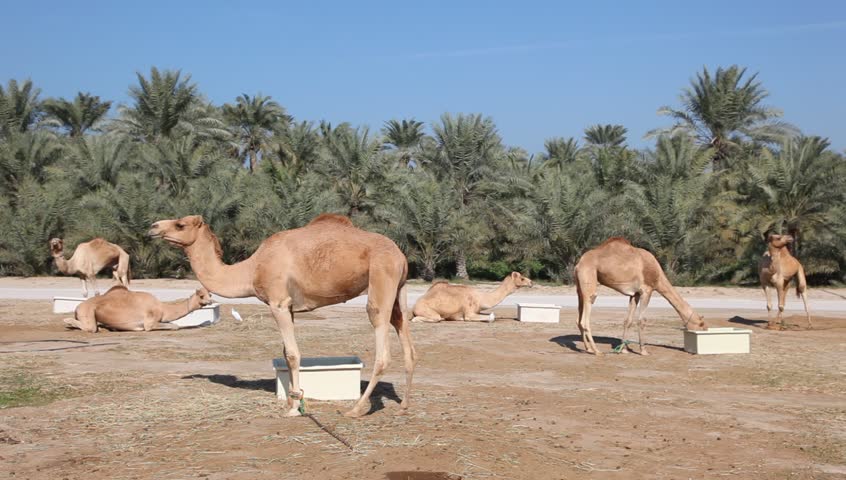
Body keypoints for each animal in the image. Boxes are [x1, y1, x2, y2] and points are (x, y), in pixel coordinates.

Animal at [63, 285, 212, 332]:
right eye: (202, 296)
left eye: (210, 294)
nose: (210, 301)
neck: (162, 308)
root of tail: (77, 307)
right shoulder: (149, 322)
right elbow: (174, 326)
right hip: (87, 312)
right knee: (91, 328)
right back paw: (67, 321)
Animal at [148, 213, 416, 418]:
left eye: (180, 224)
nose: (153, 227)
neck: (250, 270)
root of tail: (401, 256)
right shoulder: (289, 308)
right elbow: (286, 355)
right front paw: (291, 400)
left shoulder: (278, 303)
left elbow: (294, 354)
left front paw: (295, 408)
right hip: (399, 290)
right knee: (406, 339)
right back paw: (403, 405)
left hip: (381, 278)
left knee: (381, 346)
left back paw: (356, 408)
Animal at [574, 237, 707, 355]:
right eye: (701, 324)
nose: (705, 330)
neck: (658, 276)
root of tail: (578, 264)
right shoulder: (646, 290)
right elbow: (641, 320)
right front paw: (643, 350)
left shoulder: (635, 294)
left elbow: (628, 320)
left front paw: (624, 349)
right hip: (589, 278)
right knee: (586, 317)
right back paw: (597, 351)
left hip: (579, 288)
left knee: (579, 318)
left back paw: (588, 349)